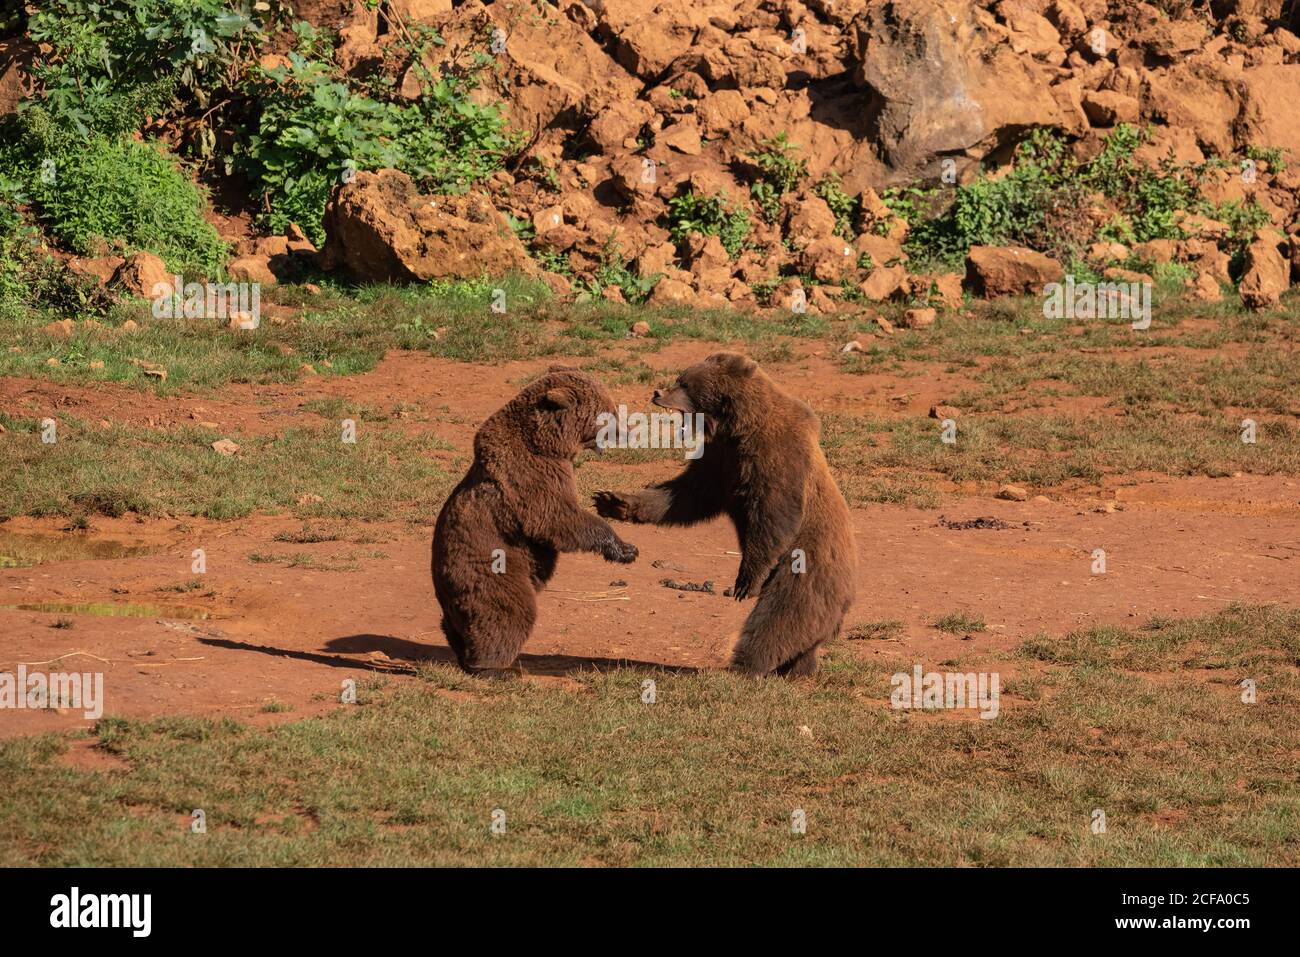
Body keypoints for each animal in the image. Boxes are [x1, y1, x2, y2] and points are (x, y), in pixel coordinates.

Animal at [432, 368, 638, 675]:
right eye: (608, 415)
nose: (624, 432)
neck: (547, 444)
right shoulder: (534, 476)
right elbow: (557, 518)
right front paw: (624, 549)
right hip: (493, 567)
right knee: (506, 613)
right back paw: (494, 668)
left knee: (456, 624)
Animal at [594, 352, 856, 677]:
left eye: (685, 383)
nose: (657, 392)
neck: (737, 427)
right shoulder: (720, 460)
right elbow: (686, 495)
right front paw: (613, 501)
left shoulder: (774, 456)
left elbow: (774, 515)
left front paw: (745, 581)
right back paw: (796, 667)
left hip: (806, 564)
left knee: (783, 615)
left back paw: (747, 665)